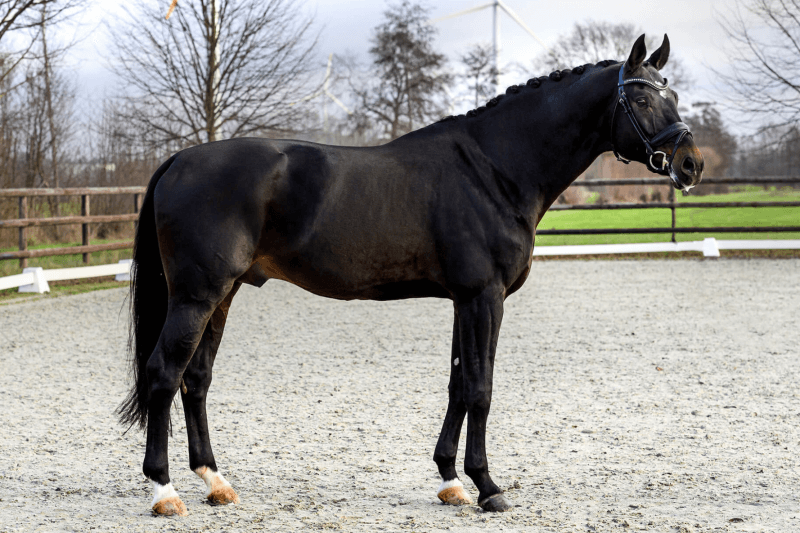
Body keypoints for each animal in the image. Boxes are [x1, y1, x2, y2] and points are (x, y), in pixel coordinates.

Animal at [118, 34, 704, 516]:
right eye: (642, 99)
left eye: (672, 94)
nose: (691, 164)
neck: (494, 167)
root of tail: (179, 160)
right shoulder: (484, 297)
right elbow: (481, 387)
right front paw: (488, 487)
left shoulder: (464, 300)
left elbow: (457, 384)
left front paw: (451, 481)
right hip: (196, 296)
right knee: (163, 375)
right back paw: (165, 492)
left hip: (223, 294)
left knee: (196, 379)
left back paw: (215, 482)